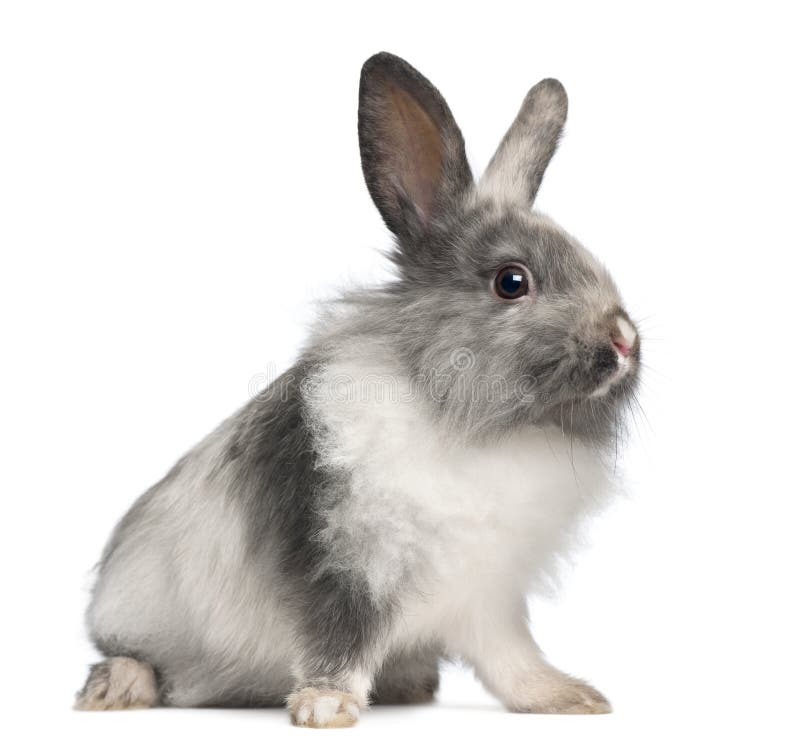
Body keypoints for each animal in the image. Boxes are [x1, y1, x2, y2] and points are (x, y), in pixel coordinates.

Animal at [76, 52, 640, 727]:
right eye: (512, 281)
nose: (624, 340)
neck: (468, 425)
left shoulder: (487, 592)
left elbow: (511, 658)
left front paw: (568, 698)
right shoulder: (346, 567)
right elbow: (338, 639)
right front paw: (327, 707)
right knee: (142, 661)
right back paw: (115, 689)